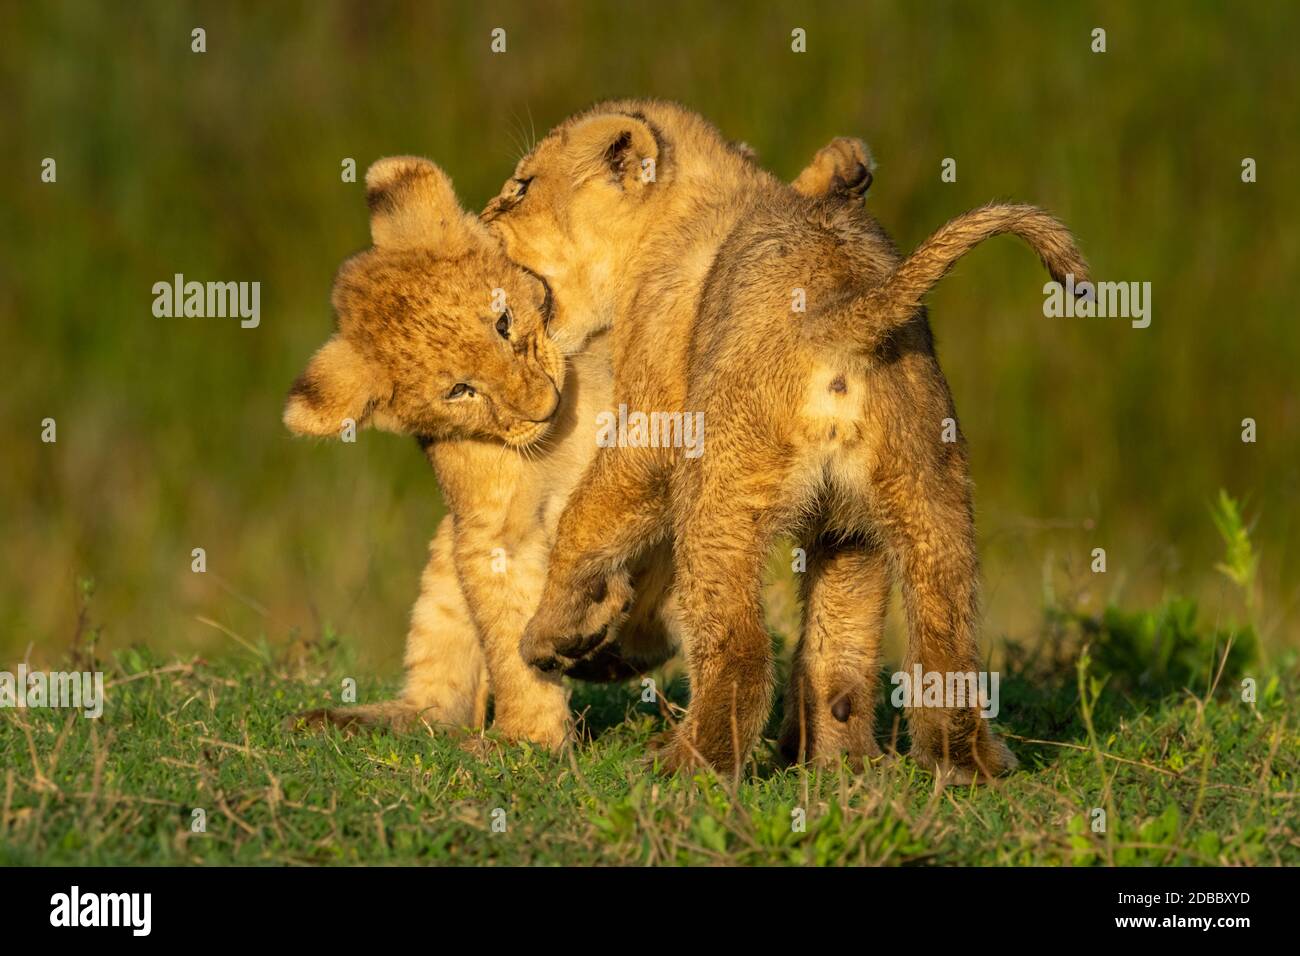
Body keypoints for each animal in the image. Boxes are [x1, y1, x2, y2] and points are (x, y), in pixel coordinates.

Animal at [283, 140, 876, 747]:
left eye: (501, 321)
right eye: (458, 390)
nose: (541, 404)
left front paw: (834, 173)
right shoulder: (490, 526)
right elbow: (505, 626)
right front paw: (531, 738)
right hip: (444, 572)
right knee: (442, 693)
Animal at [484, 100, 1089, 781]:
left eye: (522, 187)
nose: (483, 219)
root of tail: (842, 313)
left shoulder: (658, 406)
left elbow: (586, 518)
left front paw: (551, 637)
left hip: (722, 490)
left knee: (741, 647)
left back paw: (689, 762)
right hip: (918, 493)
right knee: (924, 638)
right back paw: (937, 762)